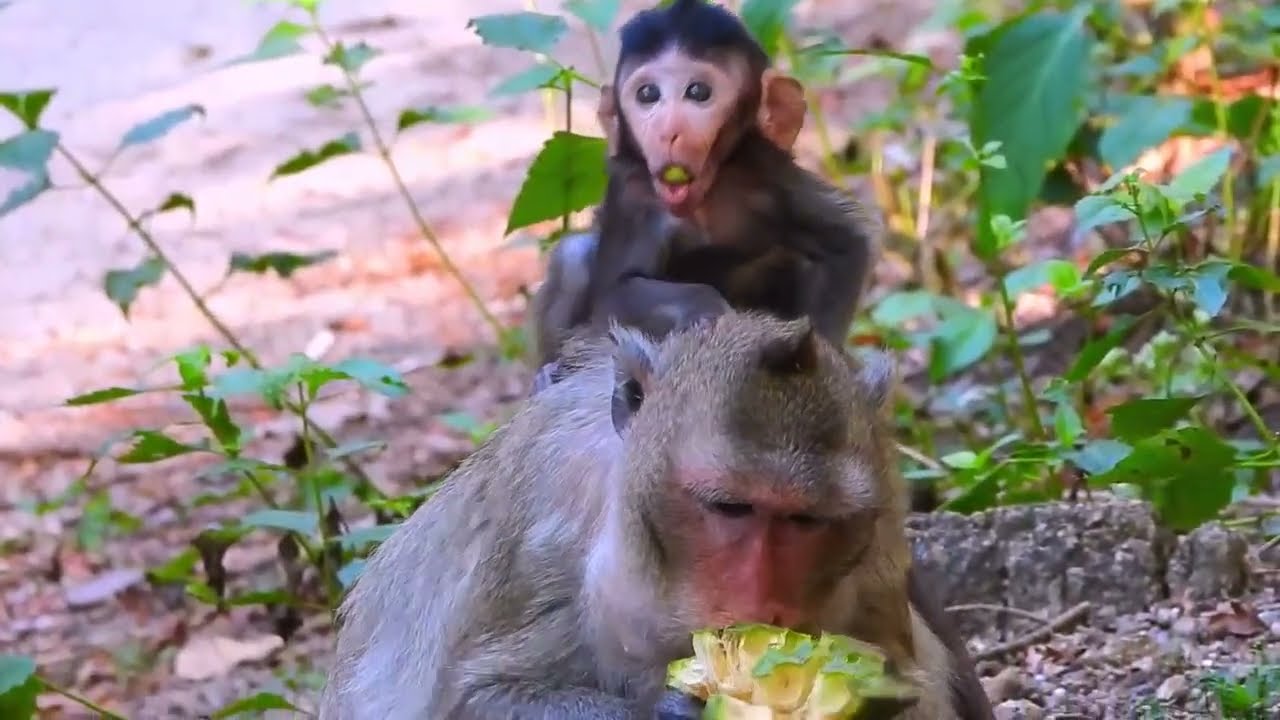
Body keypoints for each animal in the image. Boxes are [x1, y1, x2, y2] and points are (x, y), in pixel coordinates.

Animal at [319, 312, 992, 720]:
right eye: (730, 507)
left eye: (806, 521)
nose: (766, 602)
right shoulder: (545, 520)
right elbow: (474, 696)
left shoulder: (883, 536)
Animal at [526, 0, 879, 392]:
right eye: (648, 95)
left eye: (698, 92)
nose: (668, 131)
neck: (704, 199)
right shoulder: (633, 194)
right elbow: (614, 293)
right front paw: (705, 307)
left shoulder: (768, 172)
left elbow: (846, 244)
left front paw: (824, 357)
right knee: (573, 255)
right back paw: (548, 372)